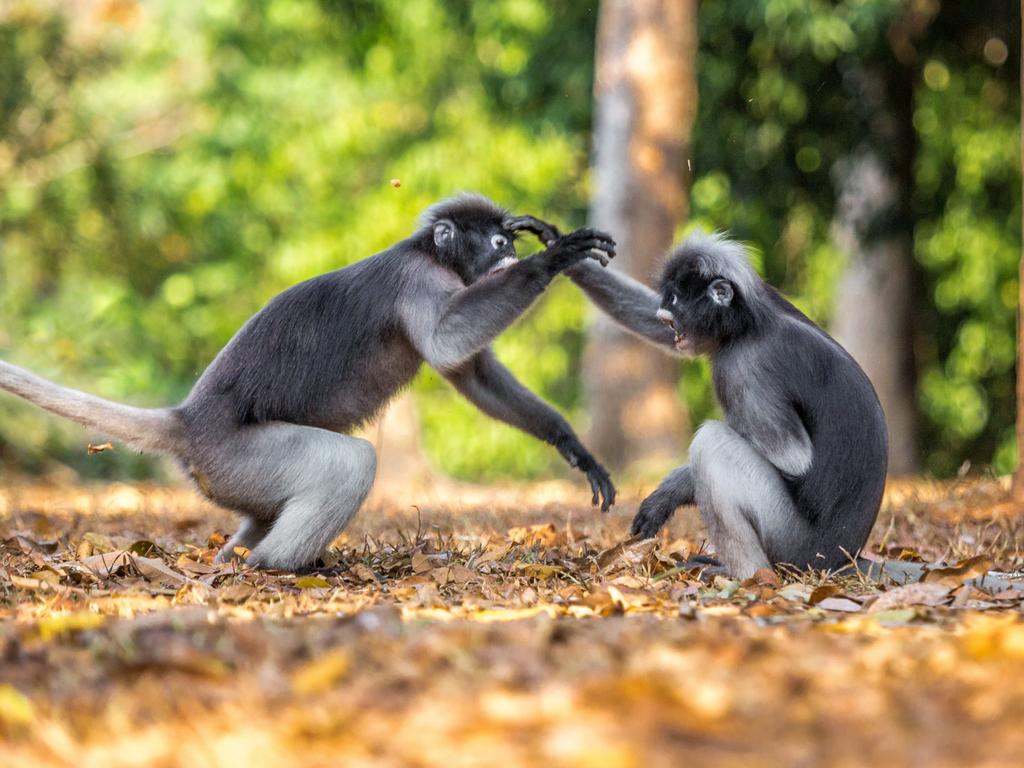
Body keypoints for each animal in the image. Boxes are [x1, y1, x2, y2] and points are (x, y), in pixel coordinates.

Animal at [0, 196, 614, 573]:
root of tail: (188, 421)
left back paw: (236, 557)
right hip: (236, 456)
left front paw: (572, 446)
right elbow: (446, 342)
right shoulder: (419, 280)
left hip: (231, 477)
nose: (513, 255)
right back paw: (273, 567)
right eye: (499, 245)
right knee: (351, 462)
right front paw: (556, 256)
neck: (428, 252)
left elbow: (471, 371)